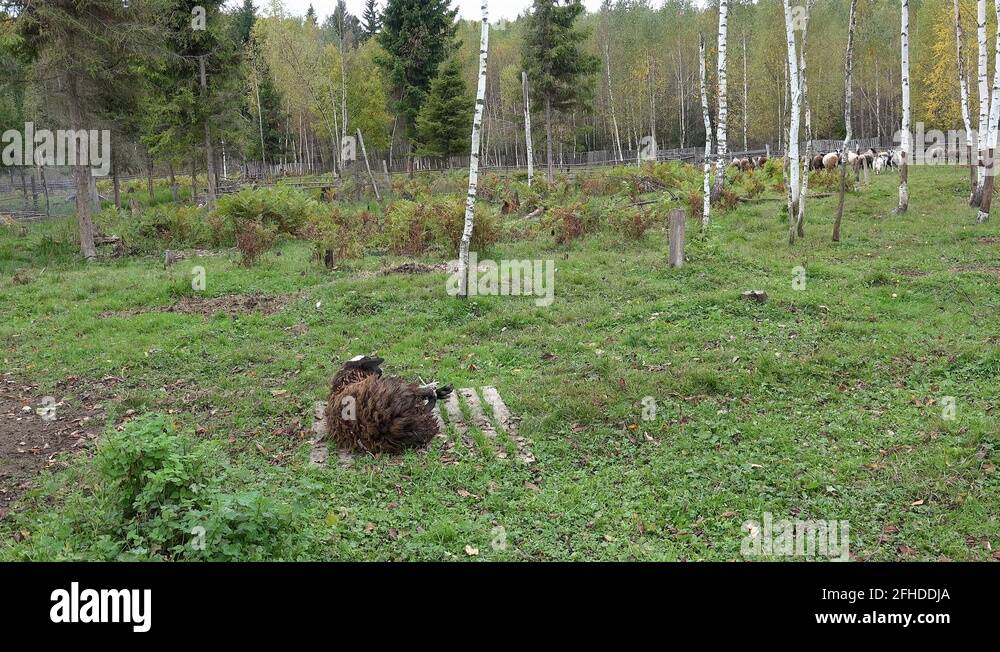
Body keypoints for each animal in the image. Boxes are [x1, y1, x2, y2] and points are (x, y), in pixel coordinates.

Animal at [325, 356, 453, 455]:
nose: (381, 372)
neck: (344, 381)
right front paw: (436, 390)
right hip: (400, 386)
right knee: (422, 395)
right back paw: (434, 392)